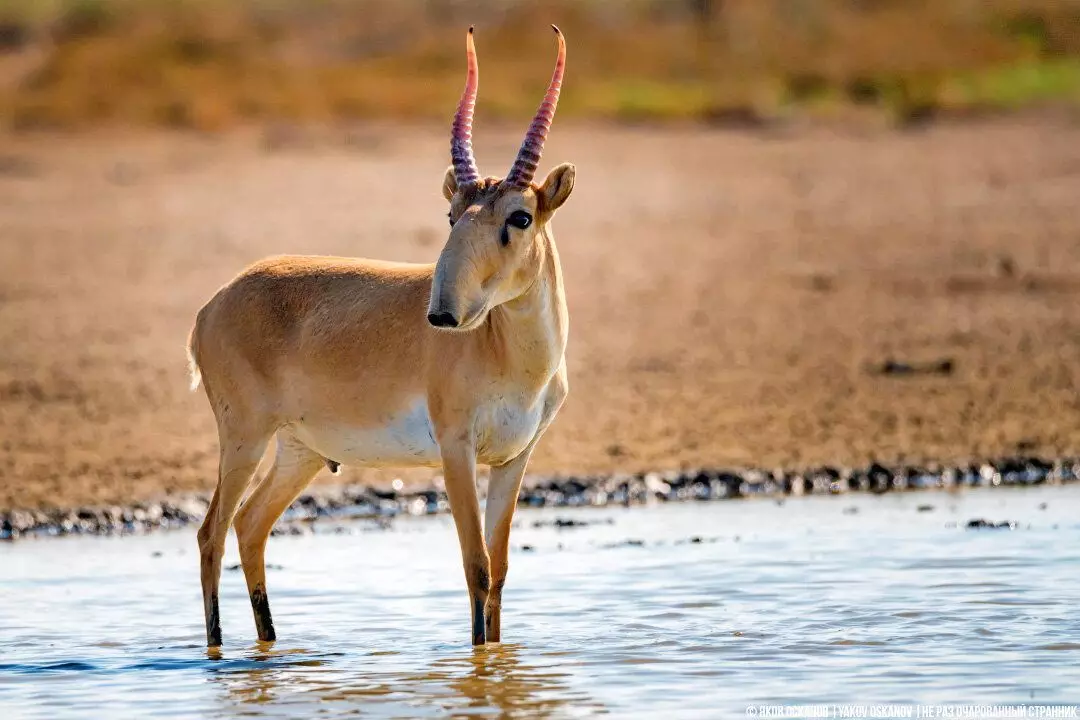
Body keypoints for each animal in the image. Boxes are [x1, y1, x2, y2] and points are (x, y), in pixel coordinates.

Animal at [185, 26, 574, 647]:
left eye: (520, 216)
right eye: (452, 215)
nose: (442, 314)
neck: (512, 358)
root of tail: (213, 304)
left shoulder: (514, 458)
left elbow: (499, 569)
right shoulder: (457, 450)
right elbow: (475, 565)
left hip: (300, 452)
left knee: (249, 525)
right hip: (244, 439)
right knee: (211, 532)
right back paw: (219, 651)